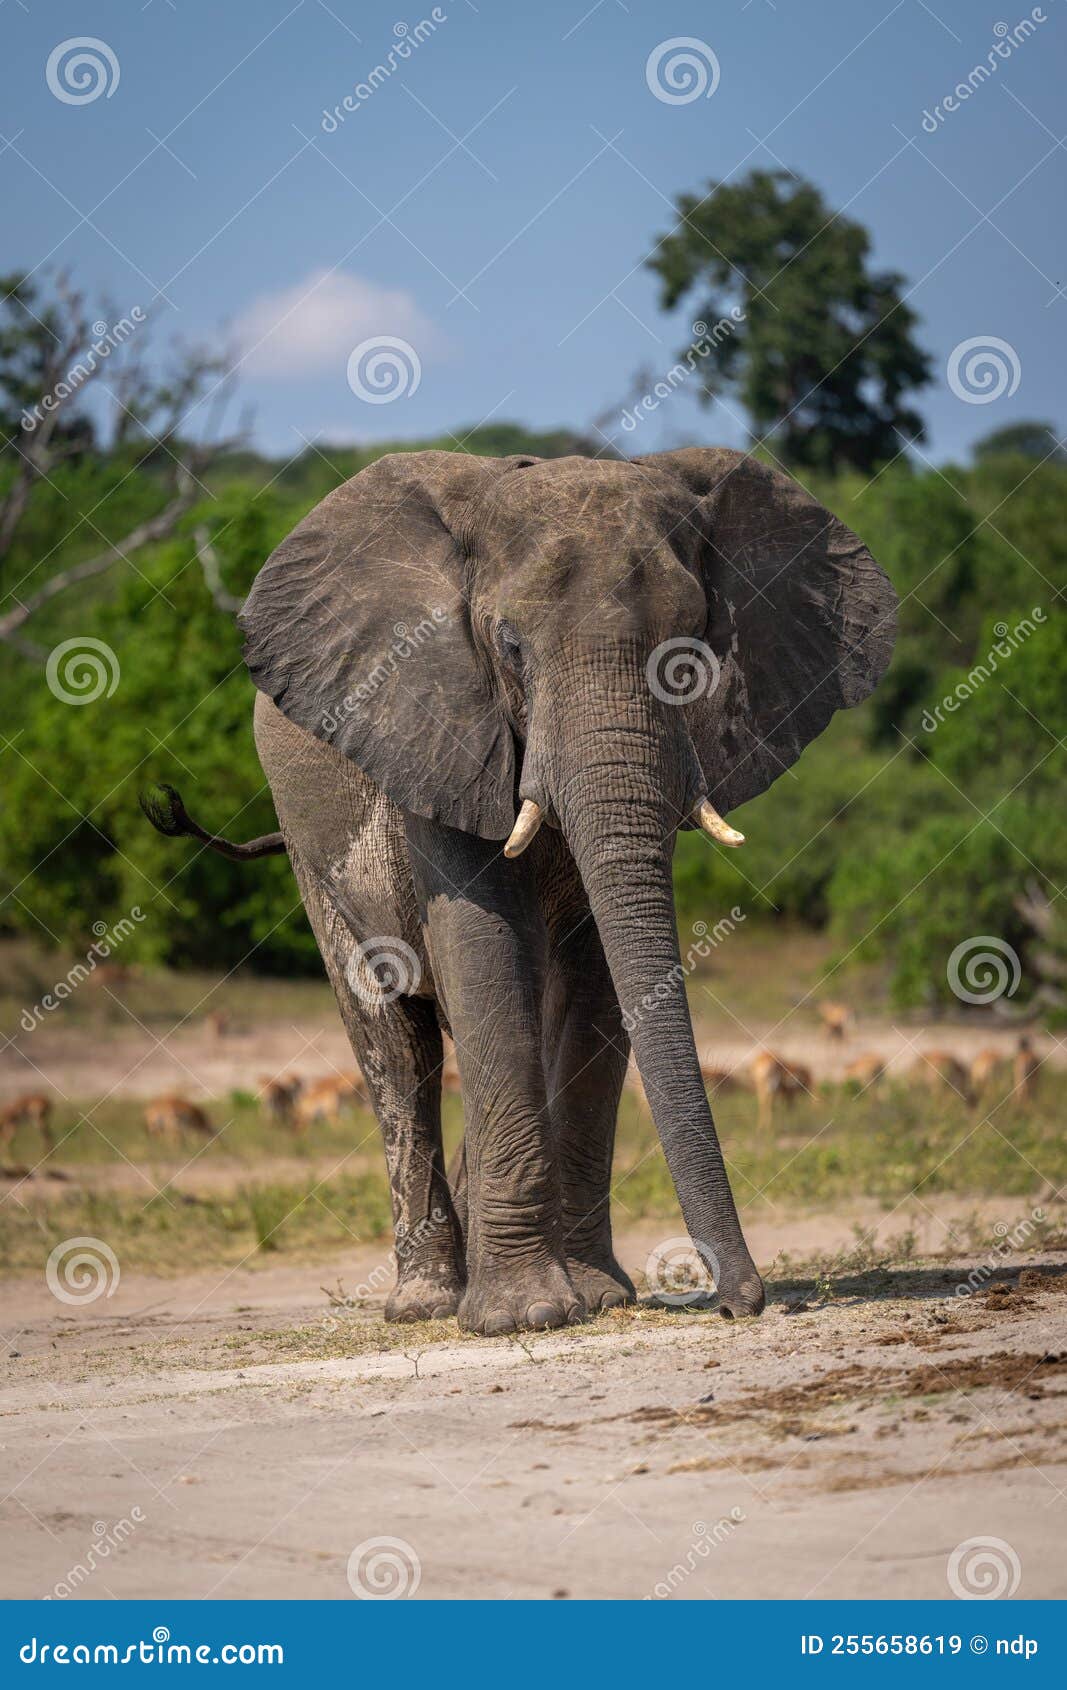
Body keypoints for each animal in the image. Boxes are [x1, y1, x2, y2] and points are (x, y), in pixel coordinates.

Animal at [143, 446, 896, 1335]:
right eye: (508, 645)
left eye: (696, 650)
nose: (742, 1302)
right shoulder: (436, 726)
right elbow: (484, 942)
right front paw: (524, 1316)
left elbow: (597, 972)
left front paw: (593, 1297)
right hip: (307, 839)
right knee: (396, 1047)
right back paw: (428, 1303)